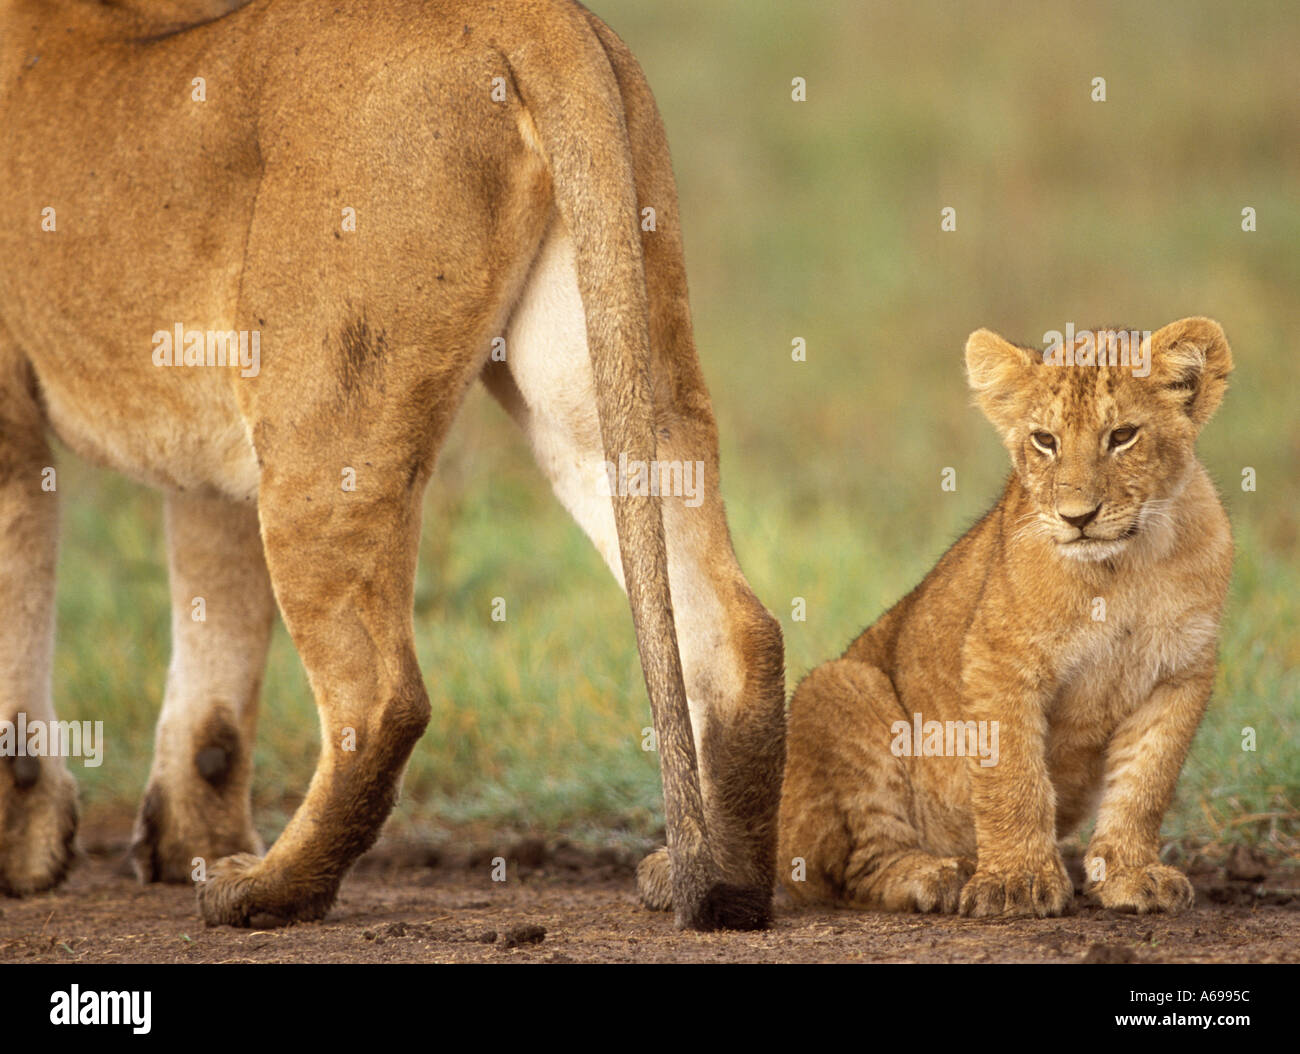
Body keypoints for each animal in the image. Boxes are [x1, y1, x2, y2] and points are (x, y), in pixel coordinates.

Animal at [0, 0, 785, 931]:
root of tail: (536, 14)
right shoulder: (206, 463)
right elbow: (214, 643)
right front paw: (183, 842)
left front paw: (24, 853)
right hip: (602, 371)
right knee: (734, 621)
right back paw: (724, 884)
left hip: (323, 420)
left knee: (383, 697)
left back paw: (266, 889)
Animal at [778, 318, 1233, 917]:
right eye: (1045, 440)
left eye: (1122, 436)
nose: (1077, 517)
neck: (1125, 567)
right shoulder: (998, 660)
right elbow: (1014, 778)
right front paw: (1017, 882)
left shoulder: (1181, 673)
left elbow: (1145, 785)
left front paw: (1129, 875)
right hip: (839, 685)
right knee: (858, 868)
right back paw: (939, 875)